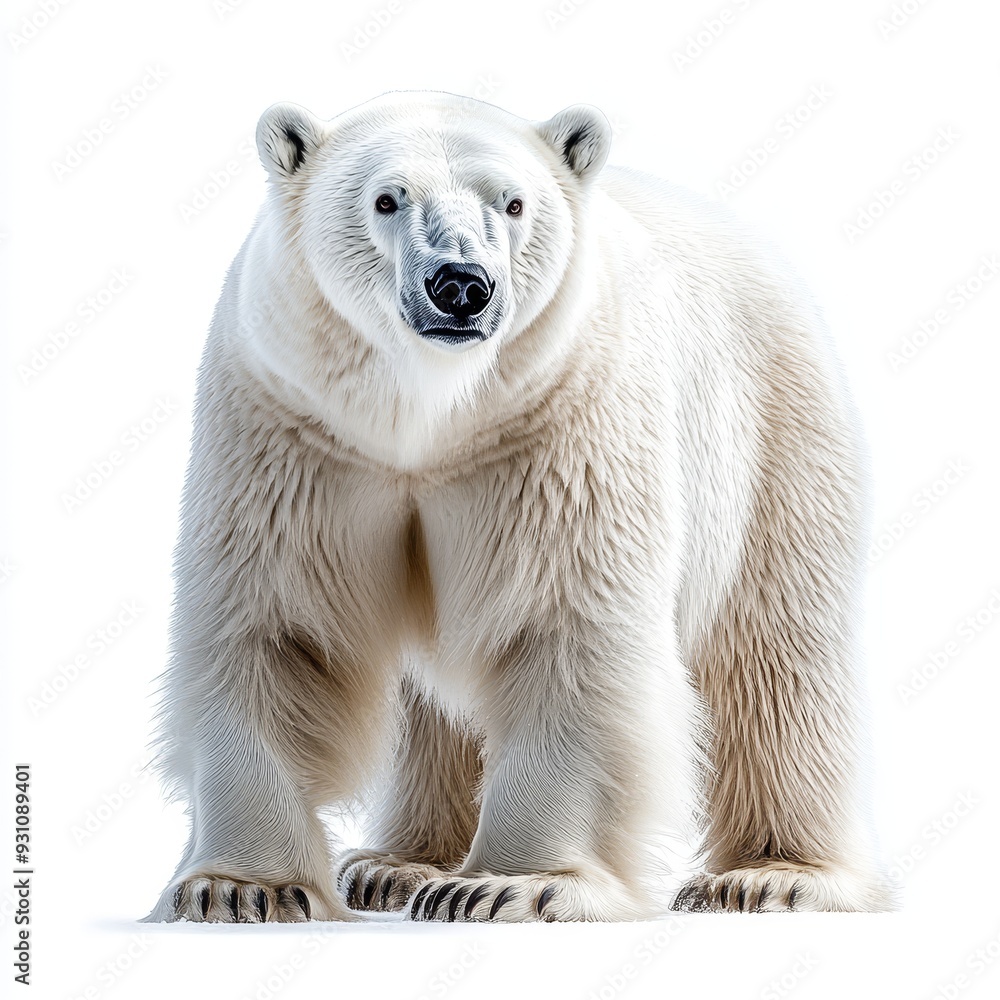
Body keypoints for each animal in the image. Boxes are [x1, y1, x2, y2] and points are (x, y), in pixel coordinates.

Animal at [145, 91, 893, 923]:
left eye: (512, 203)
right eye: (385, 199)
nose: (461, 284)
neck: (427, 417)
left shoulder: (561, 425)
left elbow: (564, 626)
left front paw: (511, 884)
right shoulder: (294, 431)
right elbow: (277, 629)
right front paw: (244, 887)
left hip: (773, 434)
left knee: (774, 655)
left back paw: (772, 875)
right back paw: (394, 864)